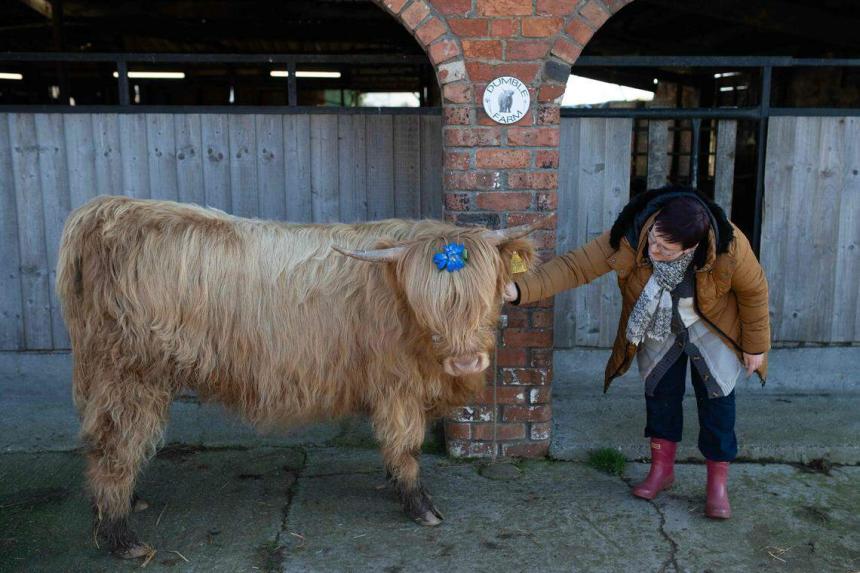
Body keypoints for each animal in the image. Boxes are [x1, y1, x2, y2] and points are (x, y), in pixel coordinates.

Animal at [56, 196, 543, 558]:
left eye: (485, 295)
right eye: (429, 305)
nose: (465, 362)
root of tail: (107, 210)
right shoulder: (396, 385)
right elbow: (405, 445)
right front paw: (419, 506)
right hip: (130, 375)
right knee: (115, 445)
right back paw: (122, 535)